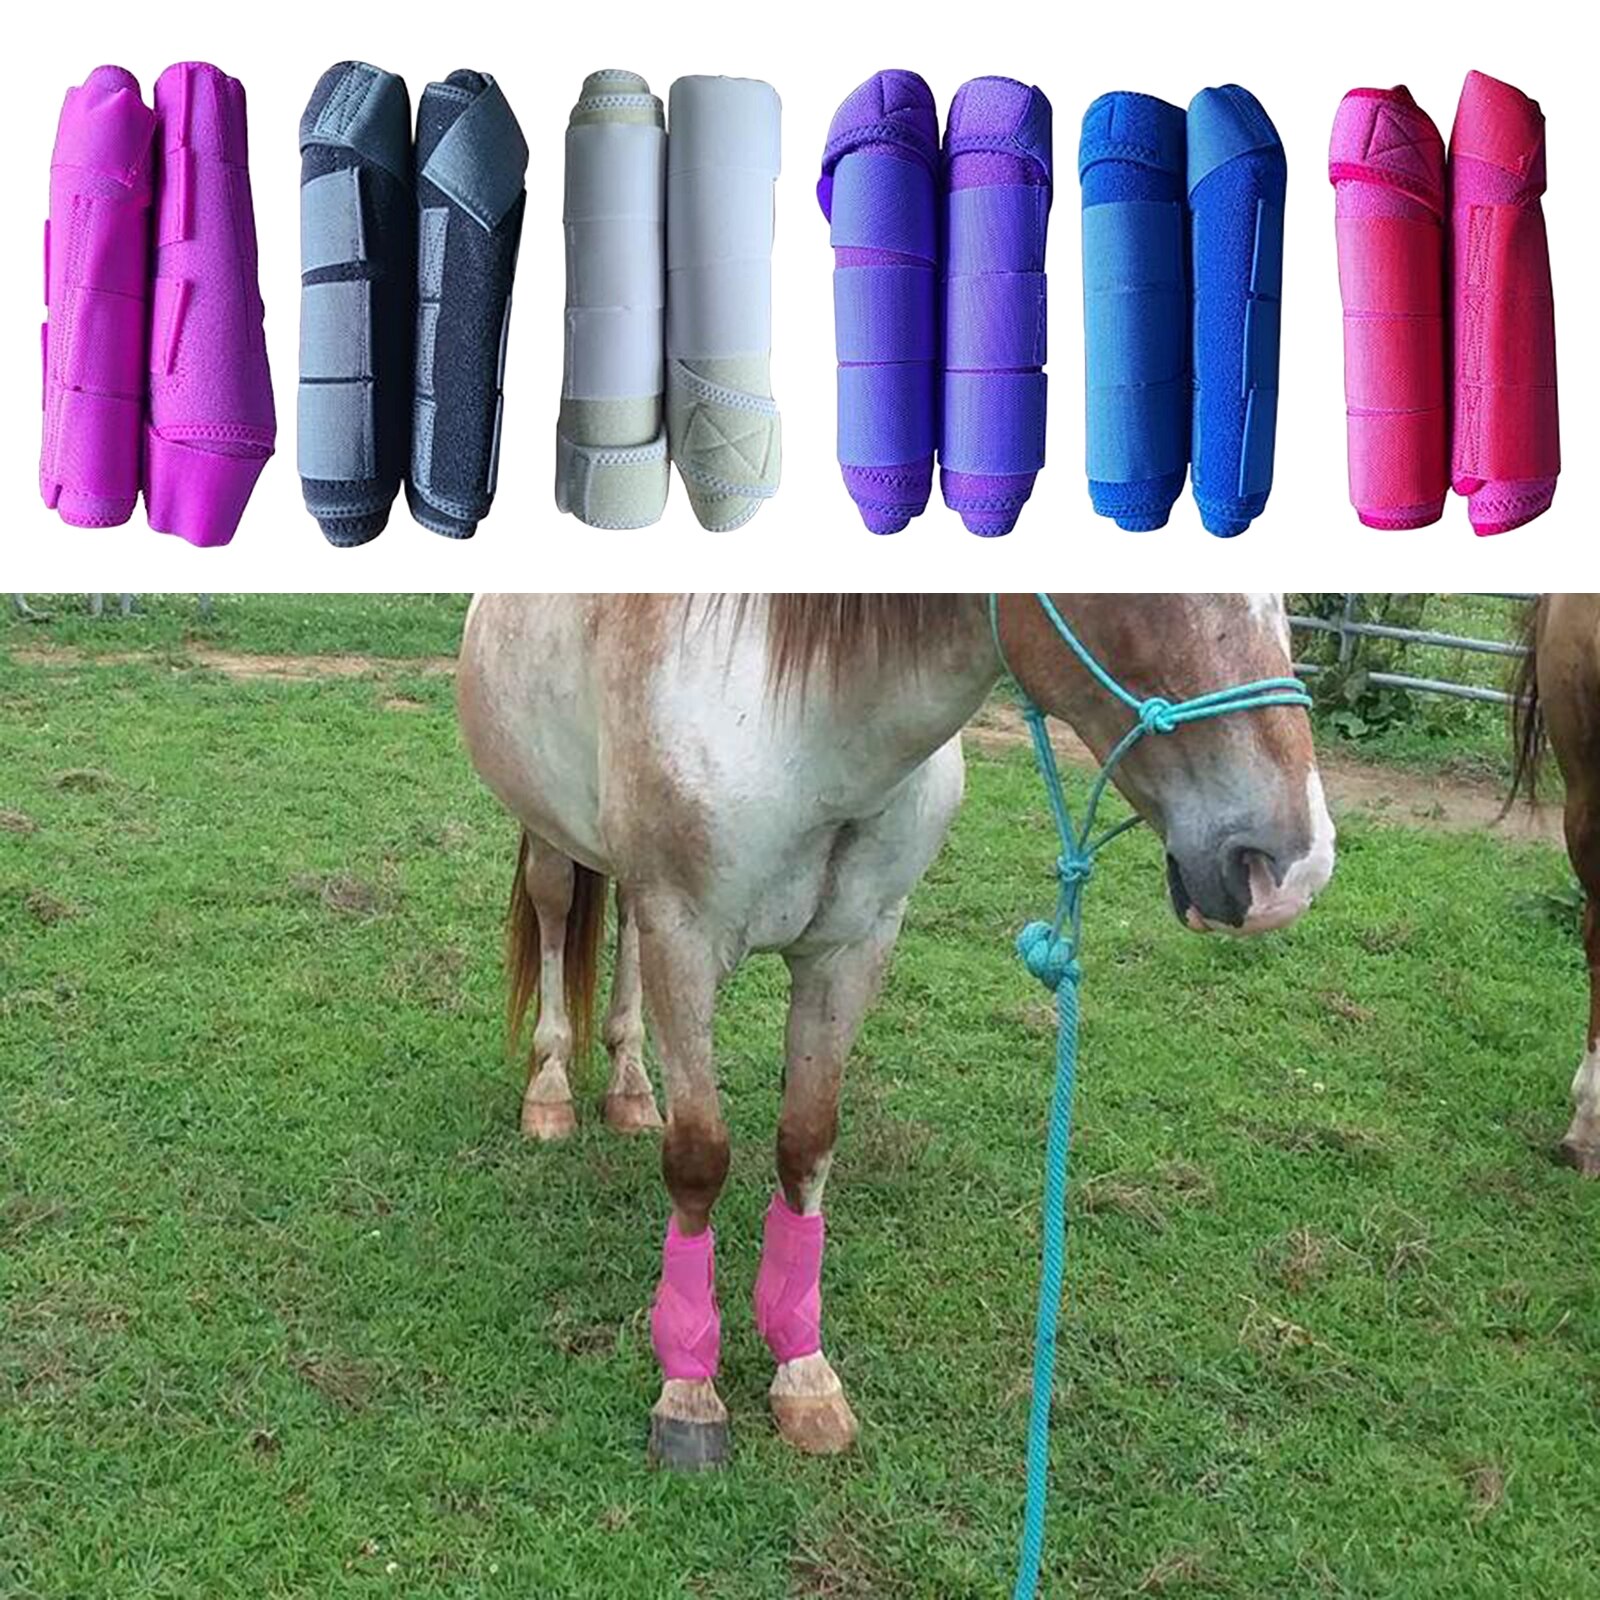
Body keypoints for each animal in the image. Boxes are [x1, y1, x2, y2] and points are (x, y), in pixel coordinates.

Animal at [456, 594, 1336, 1469]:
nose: (1291, 867)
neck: (812, 732)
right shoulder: (687, 932)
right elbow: (700, 1158)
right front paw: (689, 1387)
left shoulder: (853, 949)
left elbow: (806, 1144)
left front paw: (803, 1373)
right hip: (552, 832)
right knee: (556, 908)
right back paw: (551, 1094)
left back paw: (633, 1090)